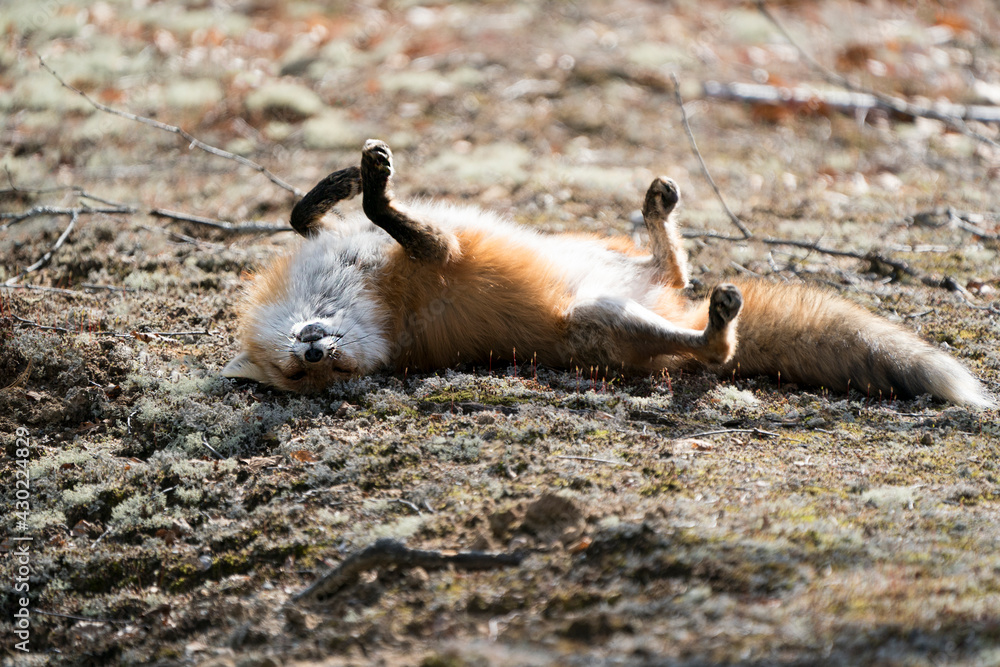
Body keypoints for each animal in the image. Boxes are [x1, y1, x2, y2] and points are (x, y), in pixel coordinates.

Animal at [222, 139, 994, 409]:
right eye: (305, 379)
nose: (314, 350)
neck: (352, 291)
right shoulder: (437, 255)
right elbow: (389, 213)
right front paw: (374, 184)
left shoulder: (363, 246)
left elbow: (305, 211)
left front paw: (348, 176)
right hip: (609, 318)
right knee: (713, 349)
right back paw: (718, 325)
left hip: (602, 259)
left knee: (671, 260)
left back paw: (659, 209)